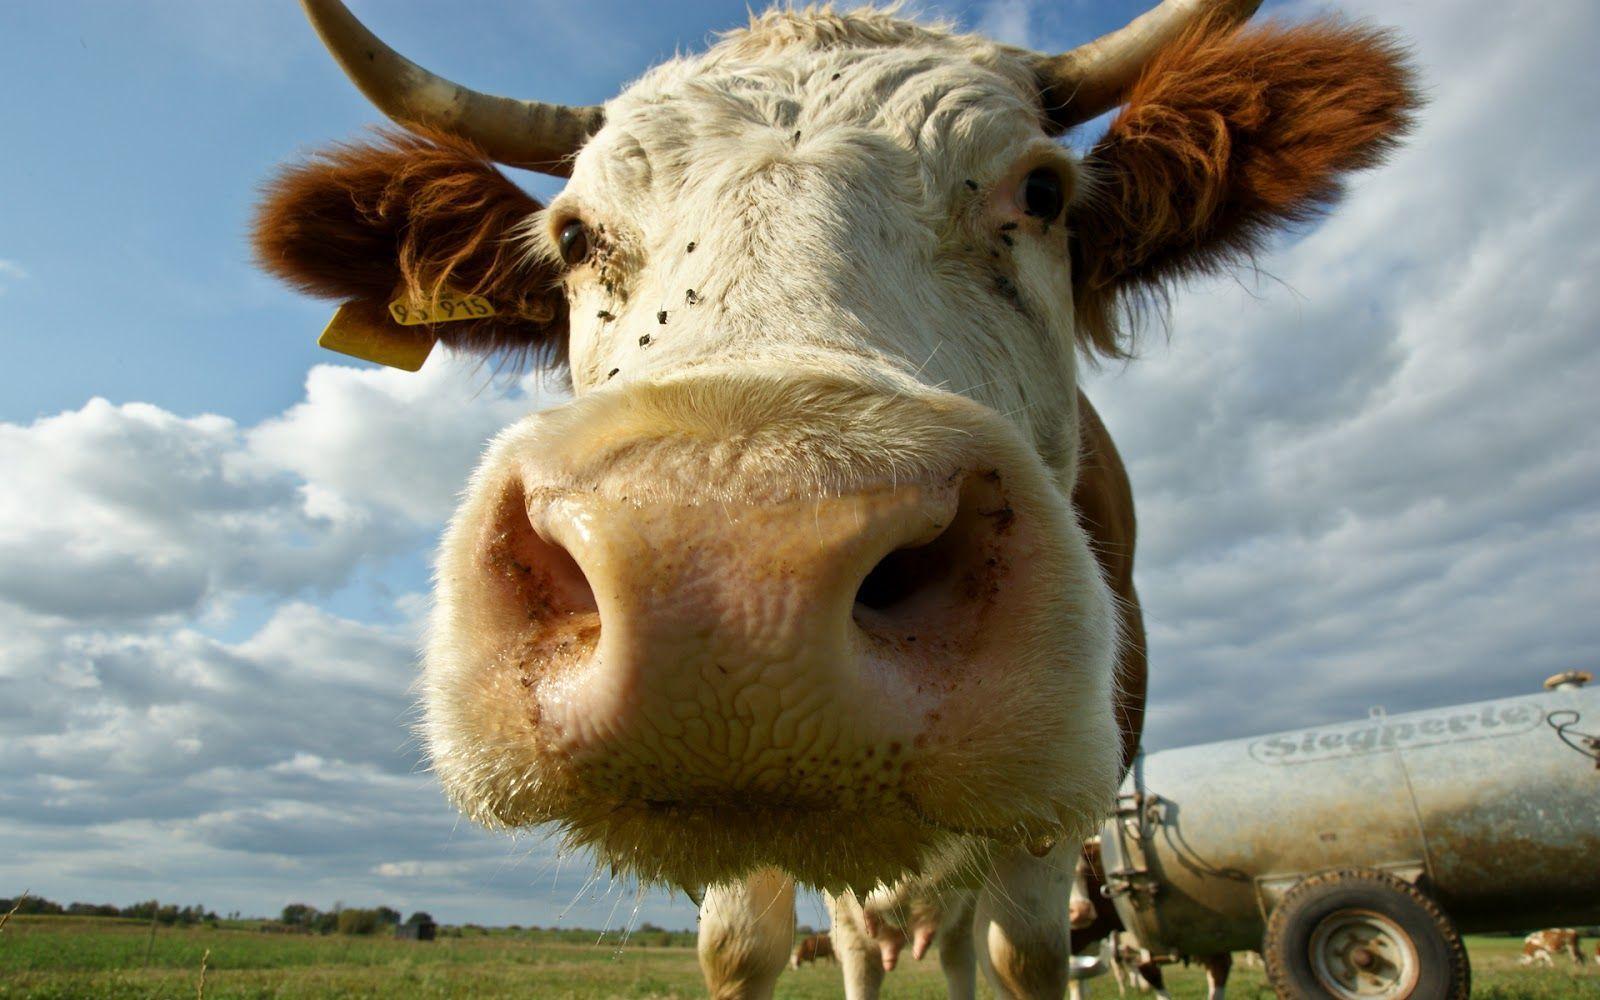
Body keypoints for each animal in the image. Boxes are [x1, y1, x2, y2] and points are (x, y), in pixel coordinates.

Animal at [252, 1, 1417, 996]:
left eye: (1041, 193)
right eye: (574, 238)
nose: (729, 583)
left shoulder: (1072, 791)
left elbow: (1028, 954)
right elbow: (743, 949)